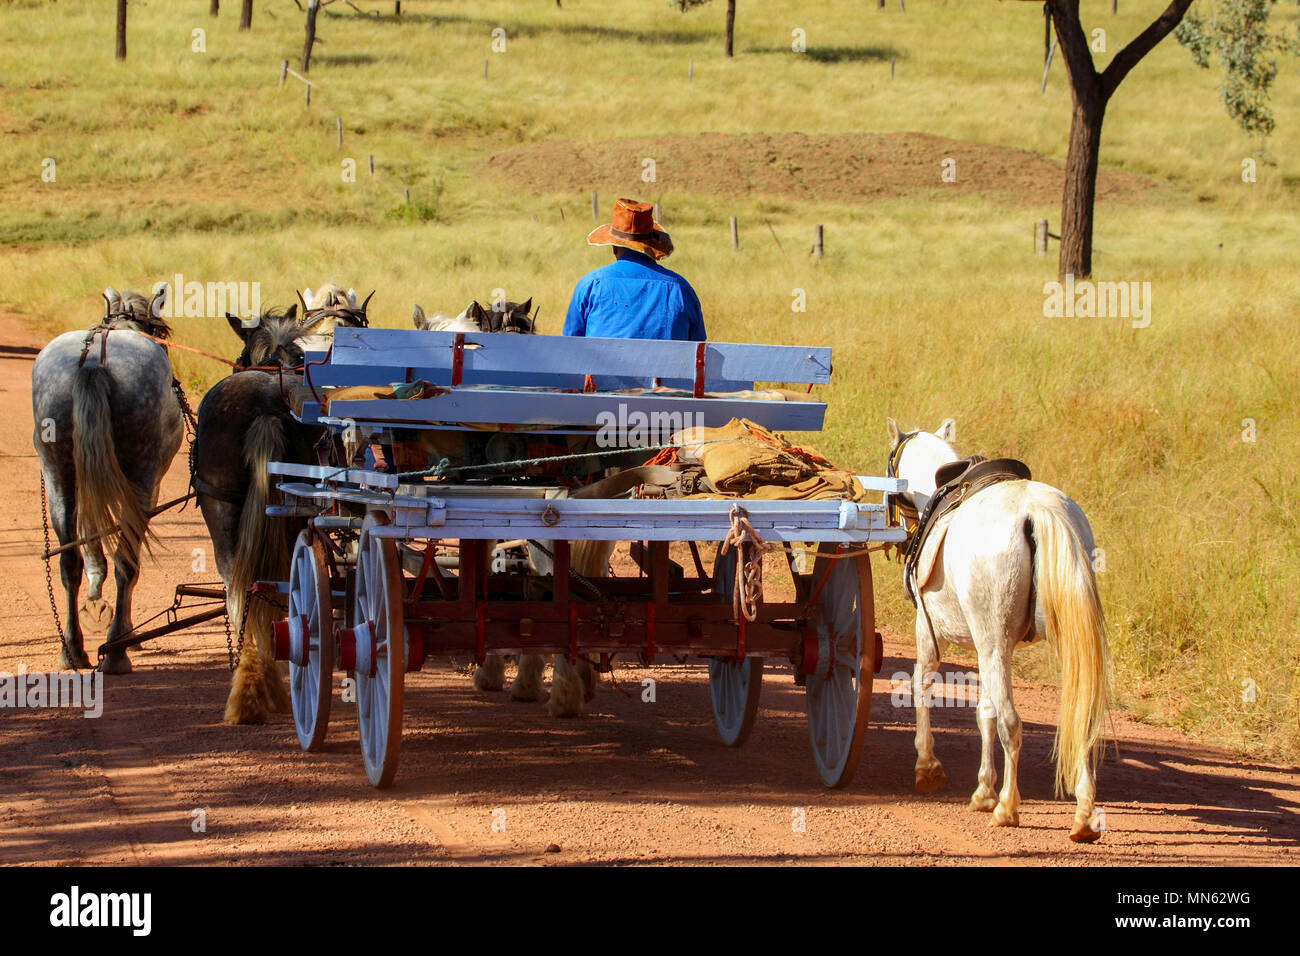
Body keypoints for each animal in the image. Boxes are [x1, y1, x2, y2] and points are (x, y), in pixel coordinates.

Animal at [31, 286, 182, 674]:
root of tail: (93, 364)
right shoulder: (149, 484)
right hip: (143, 474)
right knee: (126, 561)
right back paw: (117, 649)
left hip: (57, 471)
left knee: (69, 560)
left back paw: (72, 649)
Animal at [885, 418, 1110, 842]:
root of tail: (1037, 510)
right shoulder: (988, 646)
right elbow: (984, 711)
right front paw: (983, 789)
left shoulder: (932, 633)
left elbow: (923, 686)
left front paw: (928, 765)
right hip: (1056, 641)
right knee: (1081, 717)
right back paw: (1083, 814)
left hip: (993, 644)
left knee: (1012, 722)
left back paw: (1008, 806)